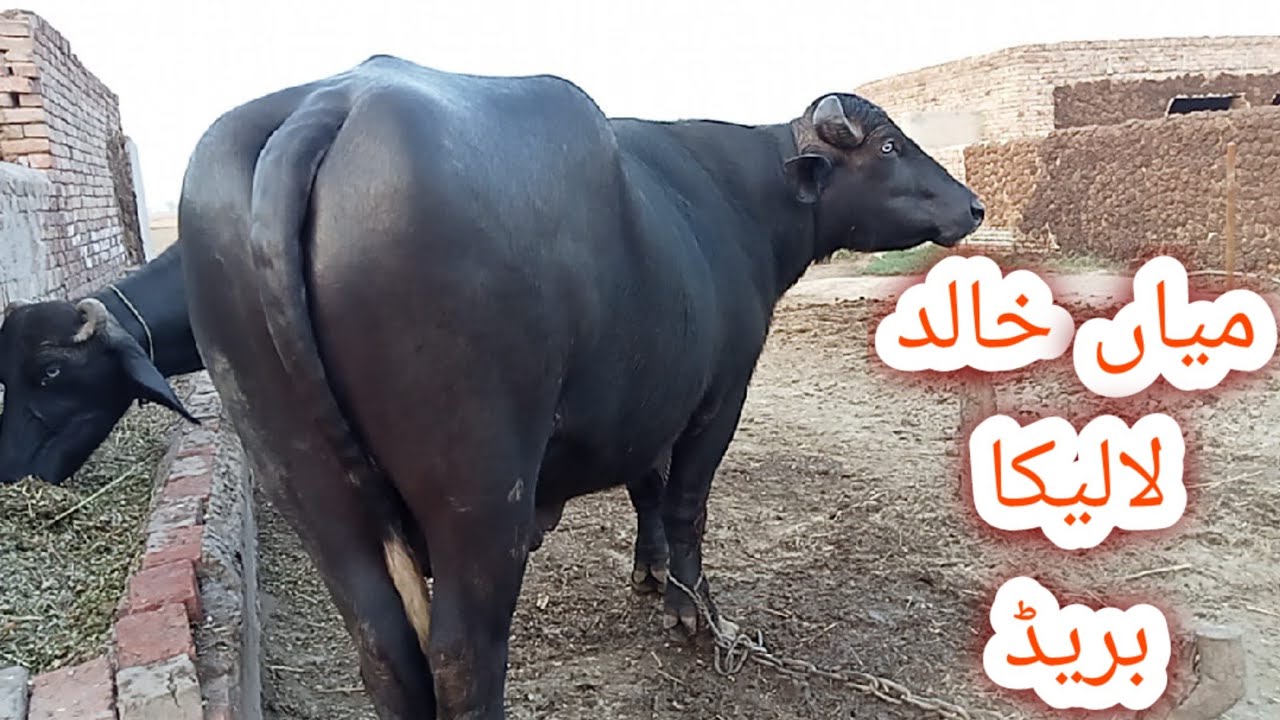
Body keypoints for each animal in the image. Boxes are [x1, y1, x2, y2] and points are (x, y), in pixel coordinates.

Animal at [177, 54, 984, 719]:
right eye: (890, 147)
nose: (973, 205)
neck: (736, 199)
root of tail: (330, 103)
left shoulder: (651, 398)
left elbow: (647, 486)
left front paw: (648, 574)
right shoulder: (720, 391)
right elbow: (686, 502)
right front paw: (696, 614)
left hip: (304, 478)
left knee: (385, 648)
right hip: (480, 487)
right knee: (462, 654)